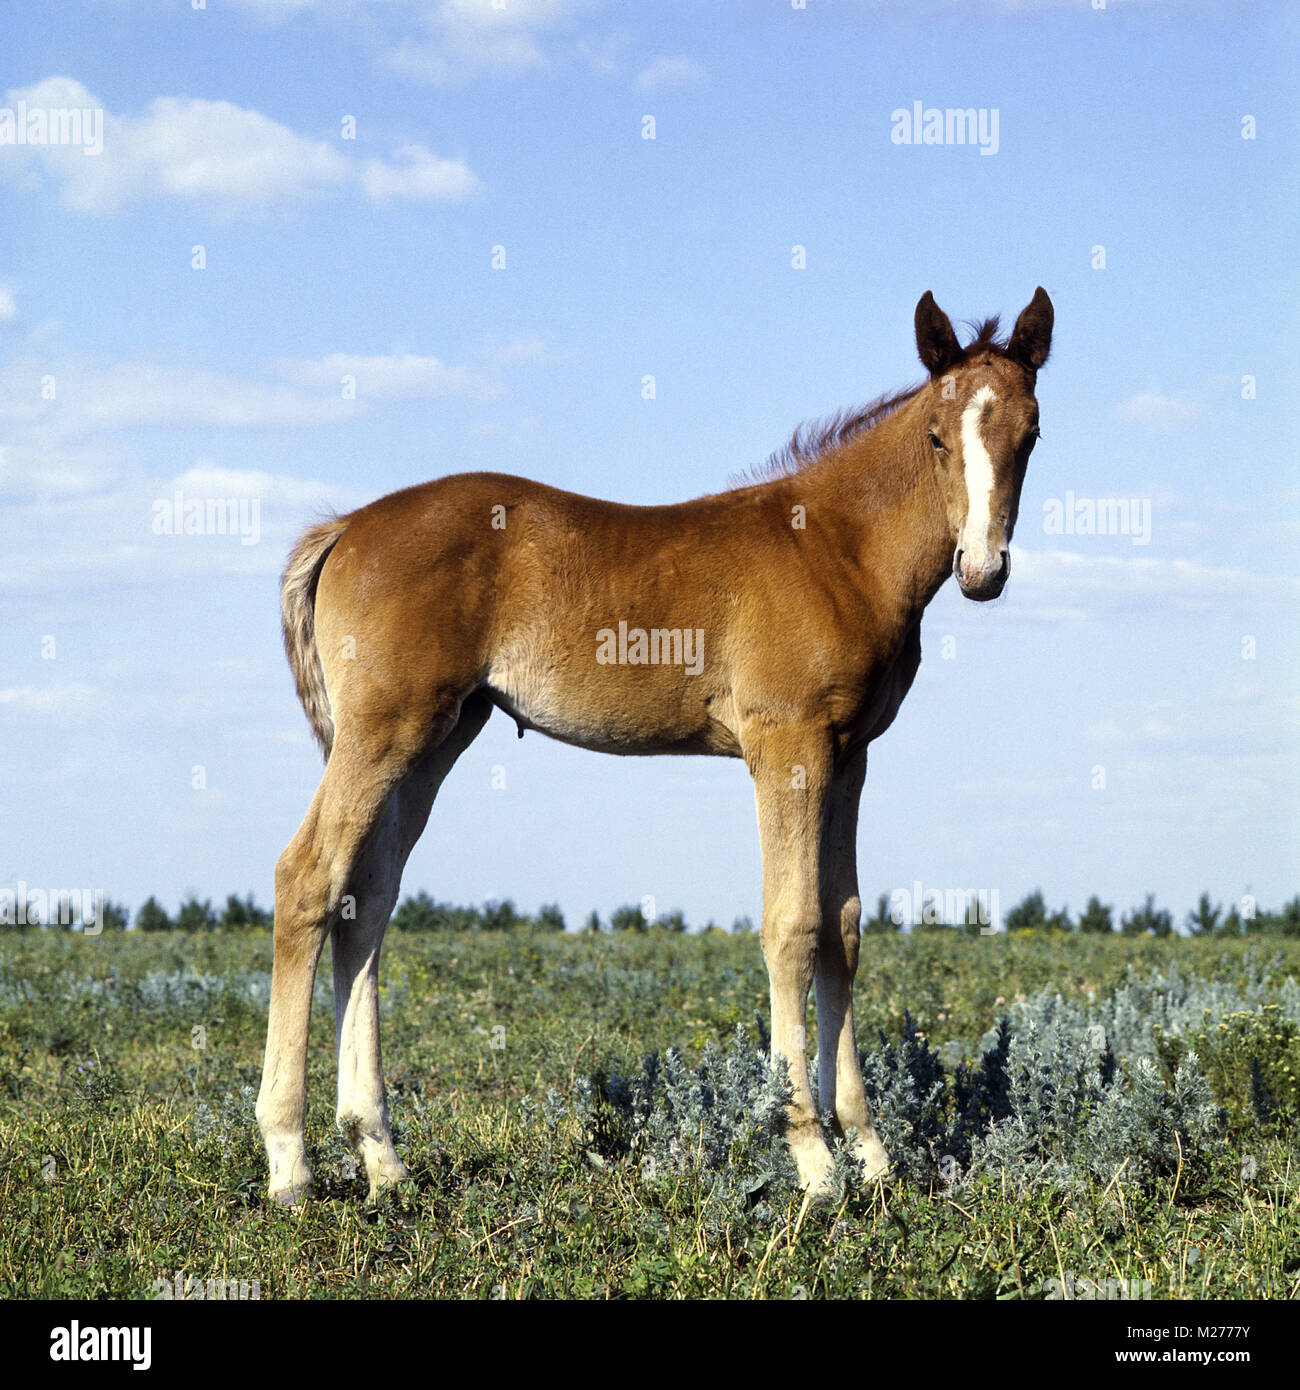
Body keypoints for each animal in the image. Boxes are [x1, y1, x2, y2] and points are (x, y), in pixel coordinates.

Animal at [256, 287, 1053, 1205]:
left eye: (1030, 433)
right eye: (935, 434)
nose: (983, 570)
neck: (838, 549)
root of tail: (346, 526)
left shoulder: (849, 754)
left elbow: (844, 928)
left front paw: (871, 1150)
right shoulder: (786, 744)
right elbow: (793, 925)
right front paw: (812, 1159)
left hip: (438, 737)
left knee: (368, 900)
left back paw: (382, 1156)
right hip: (383, 730)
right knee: (307, 878)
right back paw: (289, 1159)